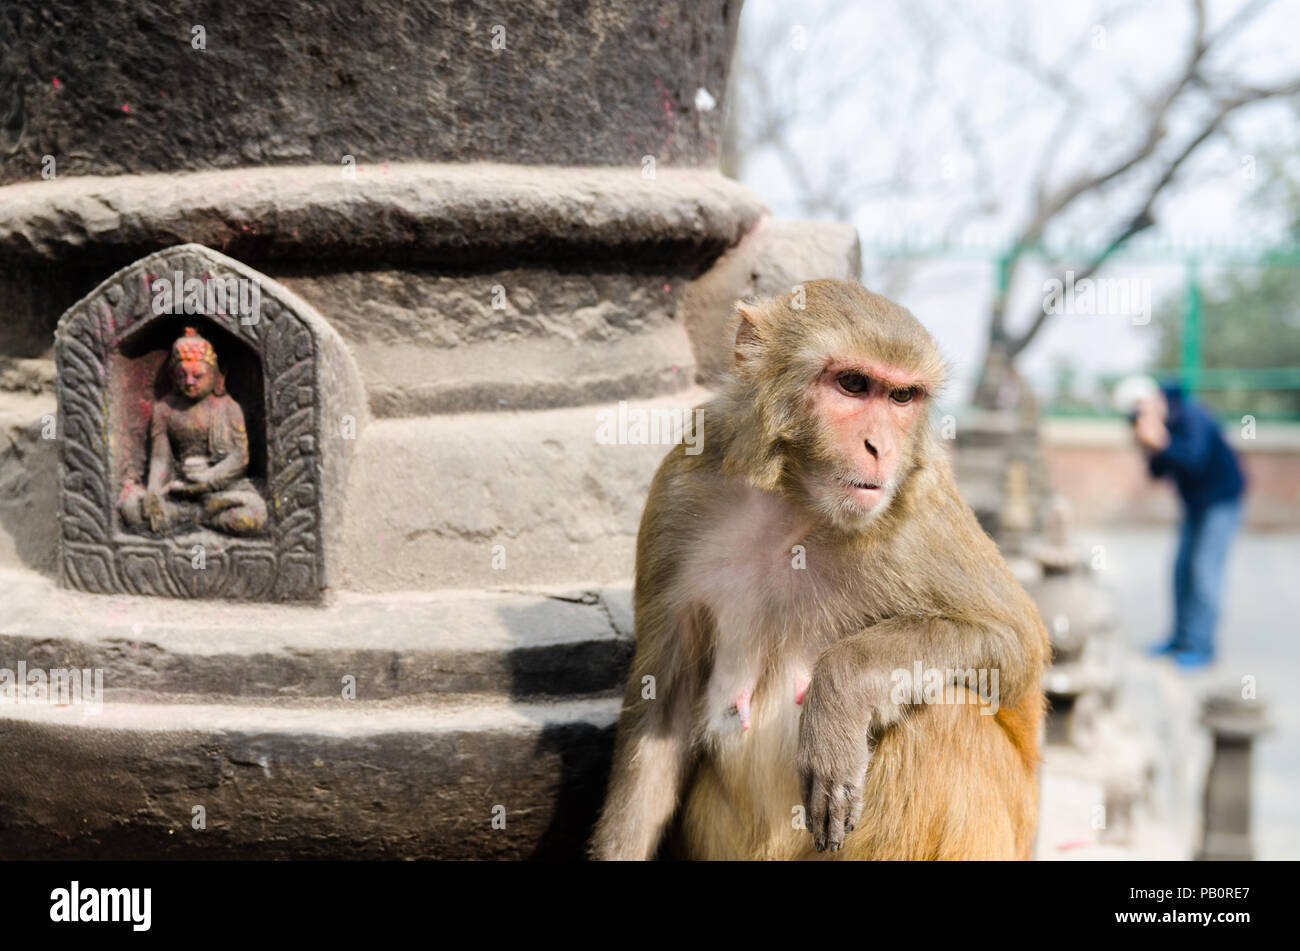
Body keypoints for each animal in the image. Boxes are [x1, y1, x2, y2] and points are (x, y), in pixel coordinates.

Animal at [590, 278, 1050, 861]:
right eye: (853, 385)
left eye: (902, 397)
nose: (881, 448)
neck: (796, 497)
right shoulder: (680, 487)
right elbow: (663, 709)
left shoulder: (920, 508)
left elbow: (1013, 640)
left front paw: (841, 691)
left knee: (945, 714)